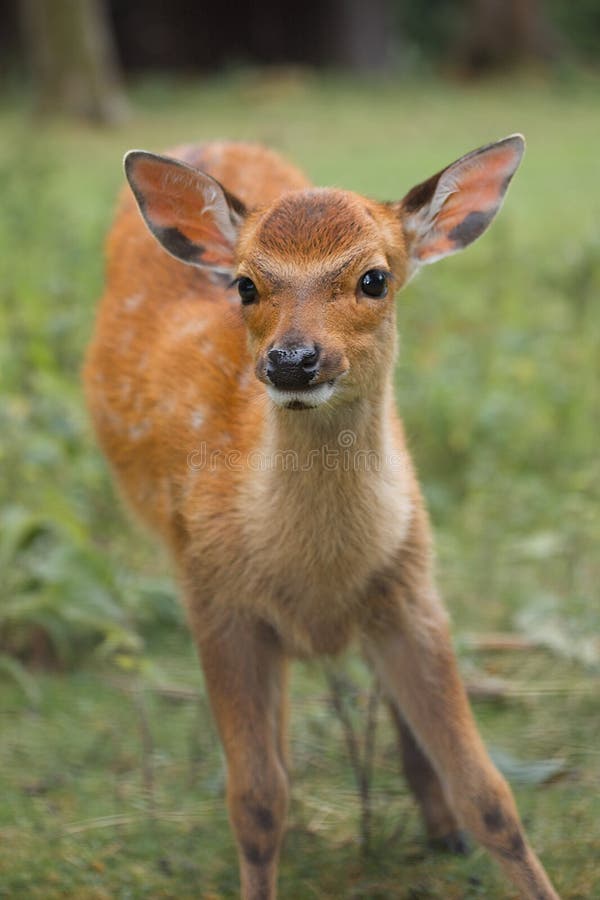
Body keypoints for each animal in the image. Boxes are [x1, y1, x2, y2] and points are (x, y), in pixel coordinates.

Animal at [84, 135, 560, 900]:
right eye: (245, 286)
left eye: (375, 278)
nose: (292, 360)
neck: (314, 575)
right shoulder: (213, 598)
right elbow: (255, 803)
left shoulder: (412, 591)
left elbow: (490, 795)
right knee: (267, 758)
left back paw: (439, 827)